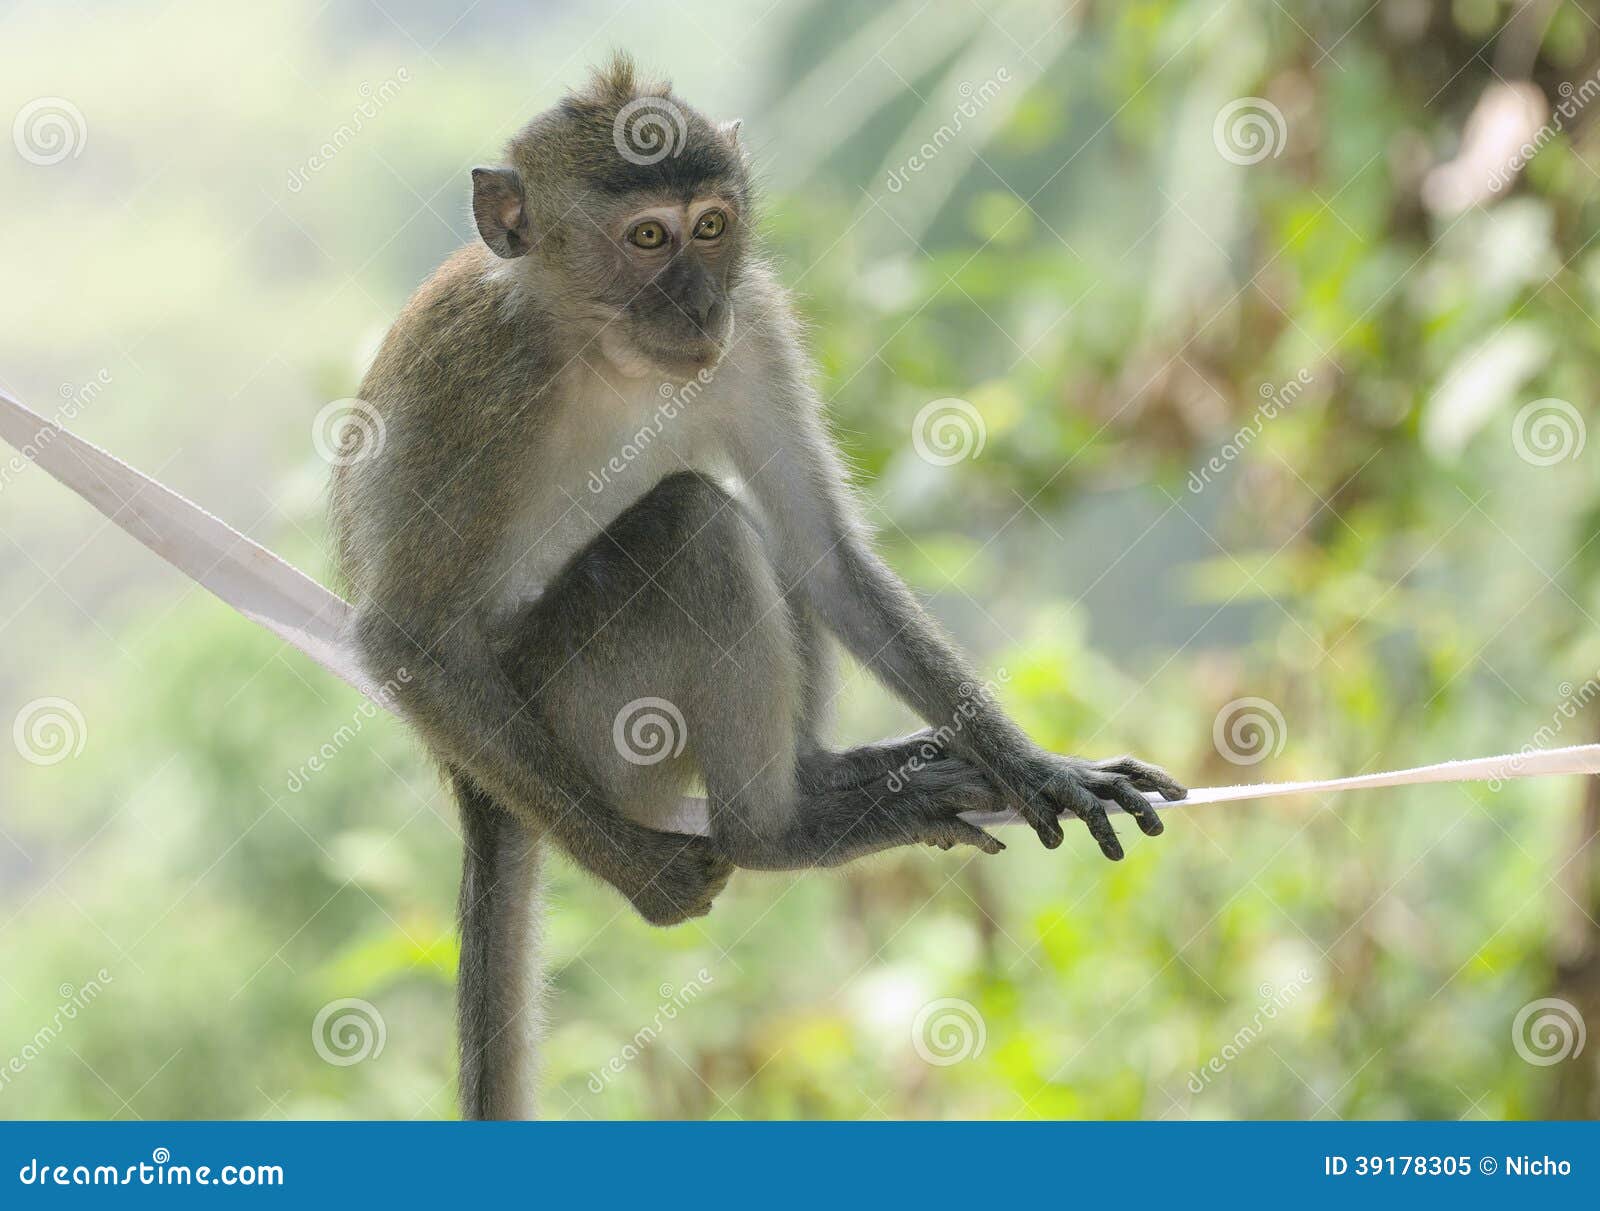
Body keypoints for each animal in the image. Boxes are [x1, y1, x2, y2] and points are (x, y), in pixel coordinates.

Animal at [328, 54, 1185, 1121]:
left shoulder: (757, 328)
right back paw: (776, 833)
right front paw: (650, 879)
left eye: (711, 226)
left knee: (754, 529)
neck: (596, 347)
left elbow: (822, 548)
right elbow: (405, 638)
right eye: (647, 237)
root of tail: (478, 794)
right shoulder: (483, 384)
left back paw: (821, 776)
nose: (700, 307)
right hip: (584, 727)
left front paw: (1038, 767)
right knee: (696, 526)